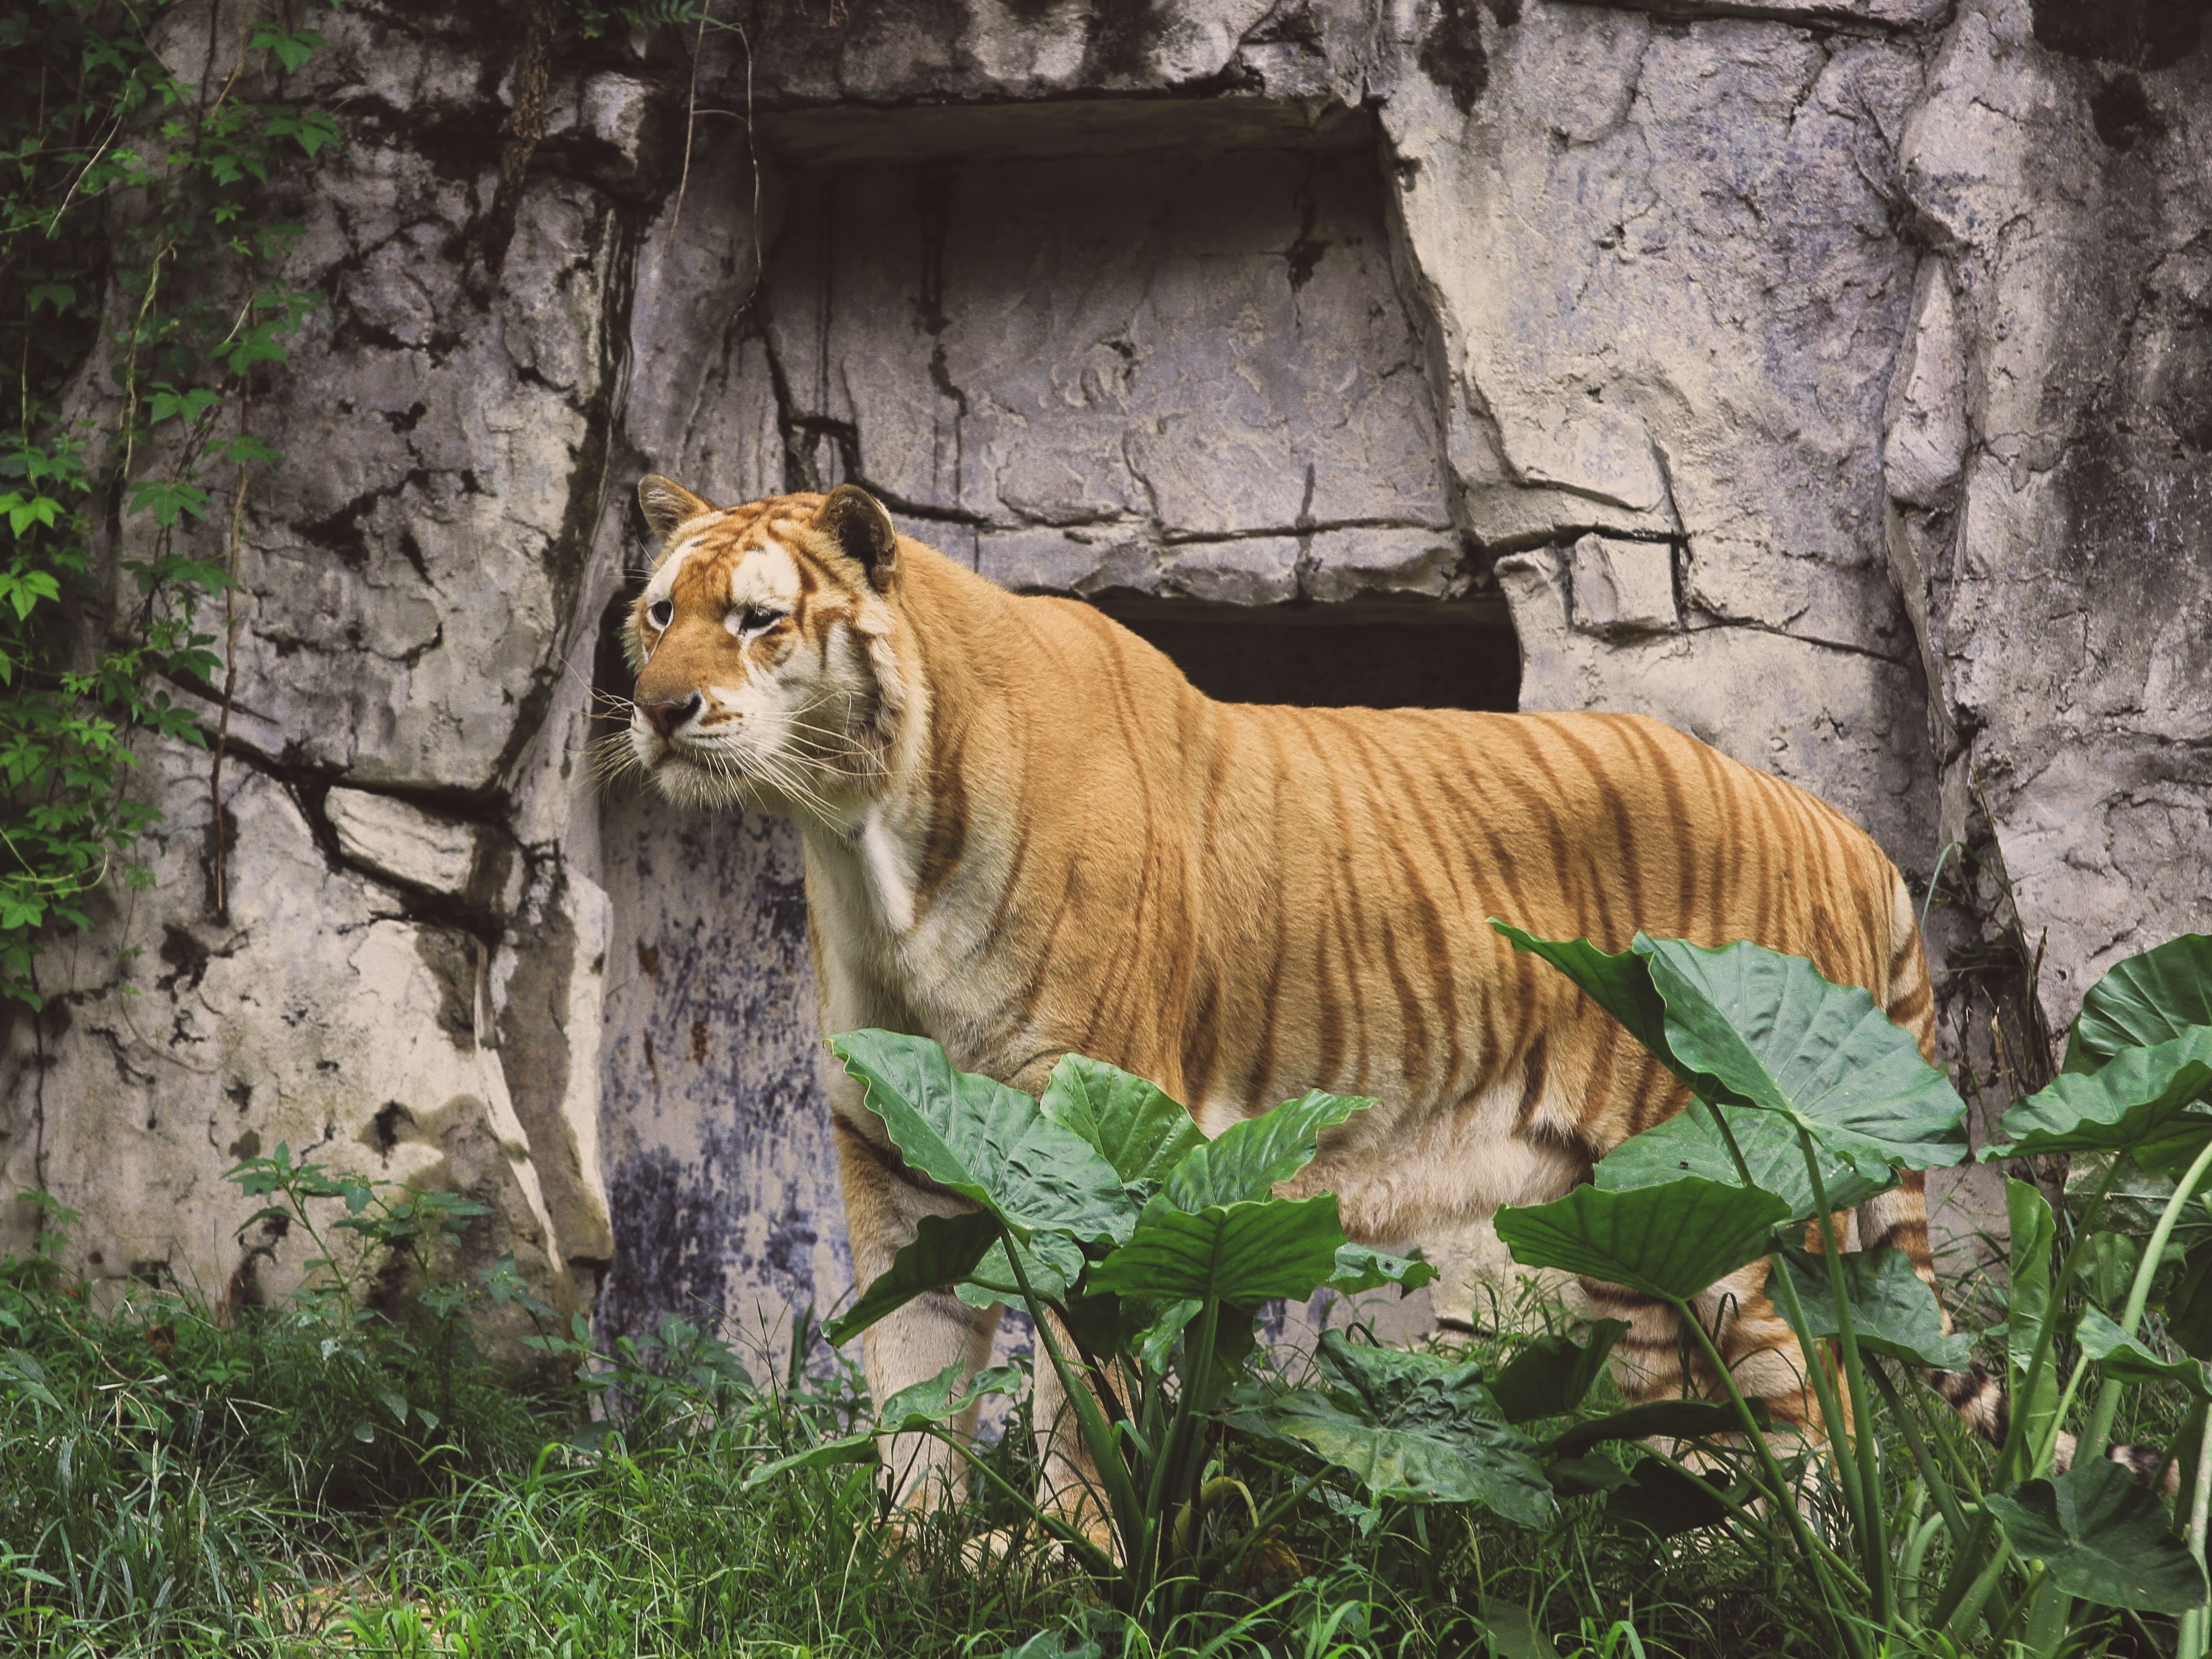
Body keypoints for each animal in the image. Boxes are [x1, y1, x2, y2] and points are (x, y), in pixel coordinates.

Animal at [615, 474, 2014, 1537]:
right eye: (655, 613)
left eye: (754, 619)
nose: (657, 709)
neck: (868, 842)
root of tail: (1836, 827)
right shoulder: (898, 1156)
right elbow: (911, 1400)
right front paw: (909, 1567)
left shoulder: (1094, 1160)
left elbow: (1085, 1402)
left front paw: (1072, 1557)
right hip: (1643, 1231)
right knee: (1714, 1421)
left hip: (1730, 1188)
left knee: (1814, 1409)